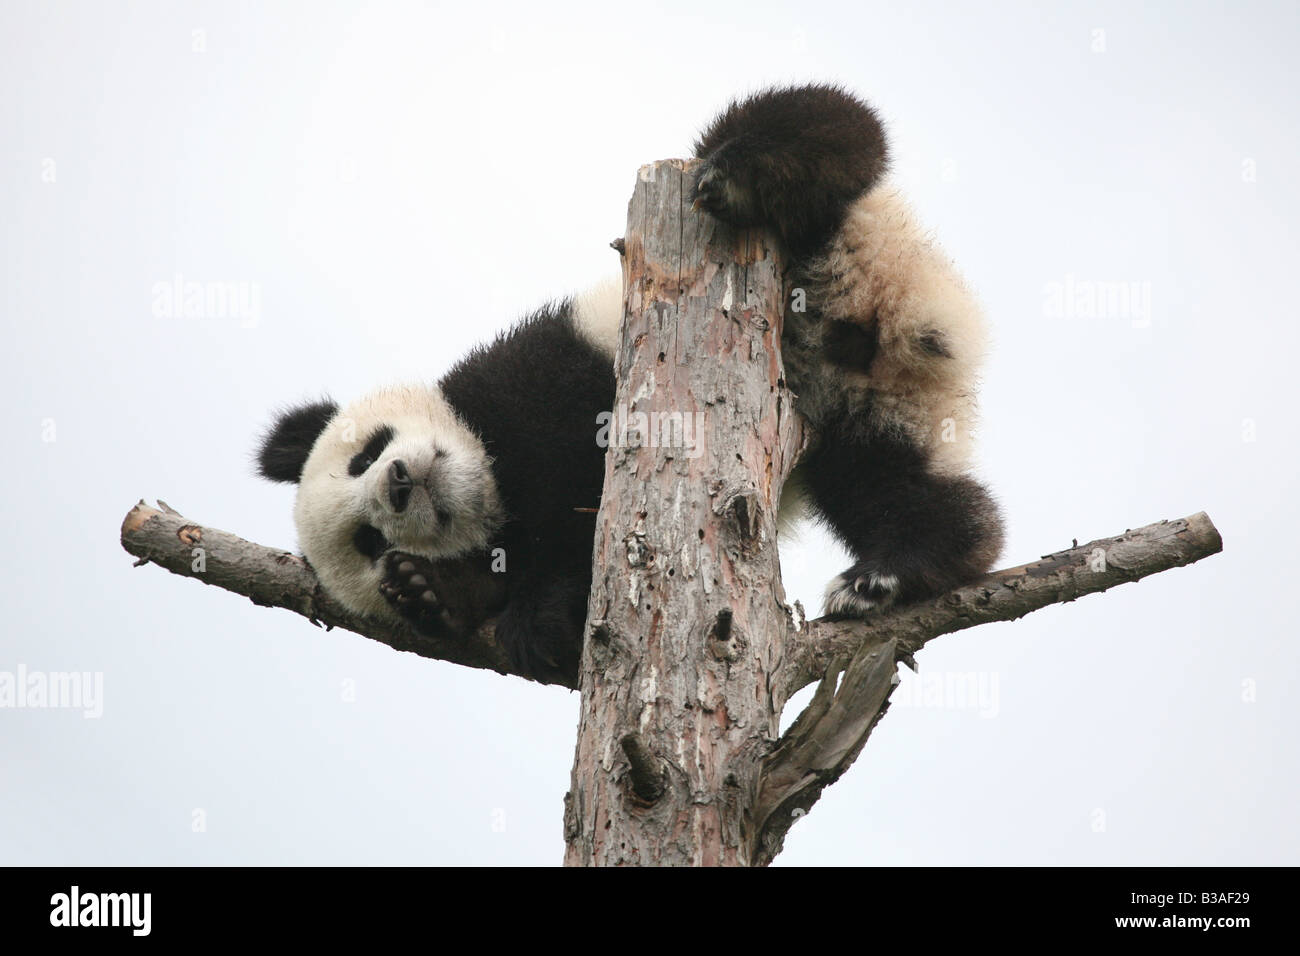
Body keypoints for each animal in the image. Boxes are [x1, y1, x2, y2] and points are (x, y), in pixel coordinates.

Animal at [257, 83, 1002, 684]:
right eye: (370, 541)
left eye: (365, 453)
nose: (399, 482)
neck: (492, 482)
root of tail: (921, 318)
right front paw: (430, 590)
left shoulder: (539, 371)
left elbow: (574, 500)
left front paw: (526, 604)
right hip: (865, 412)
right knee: (891, 485)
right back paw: (894, 573)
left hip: (835, 230)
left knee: (818, 125)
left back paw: (742, 173)